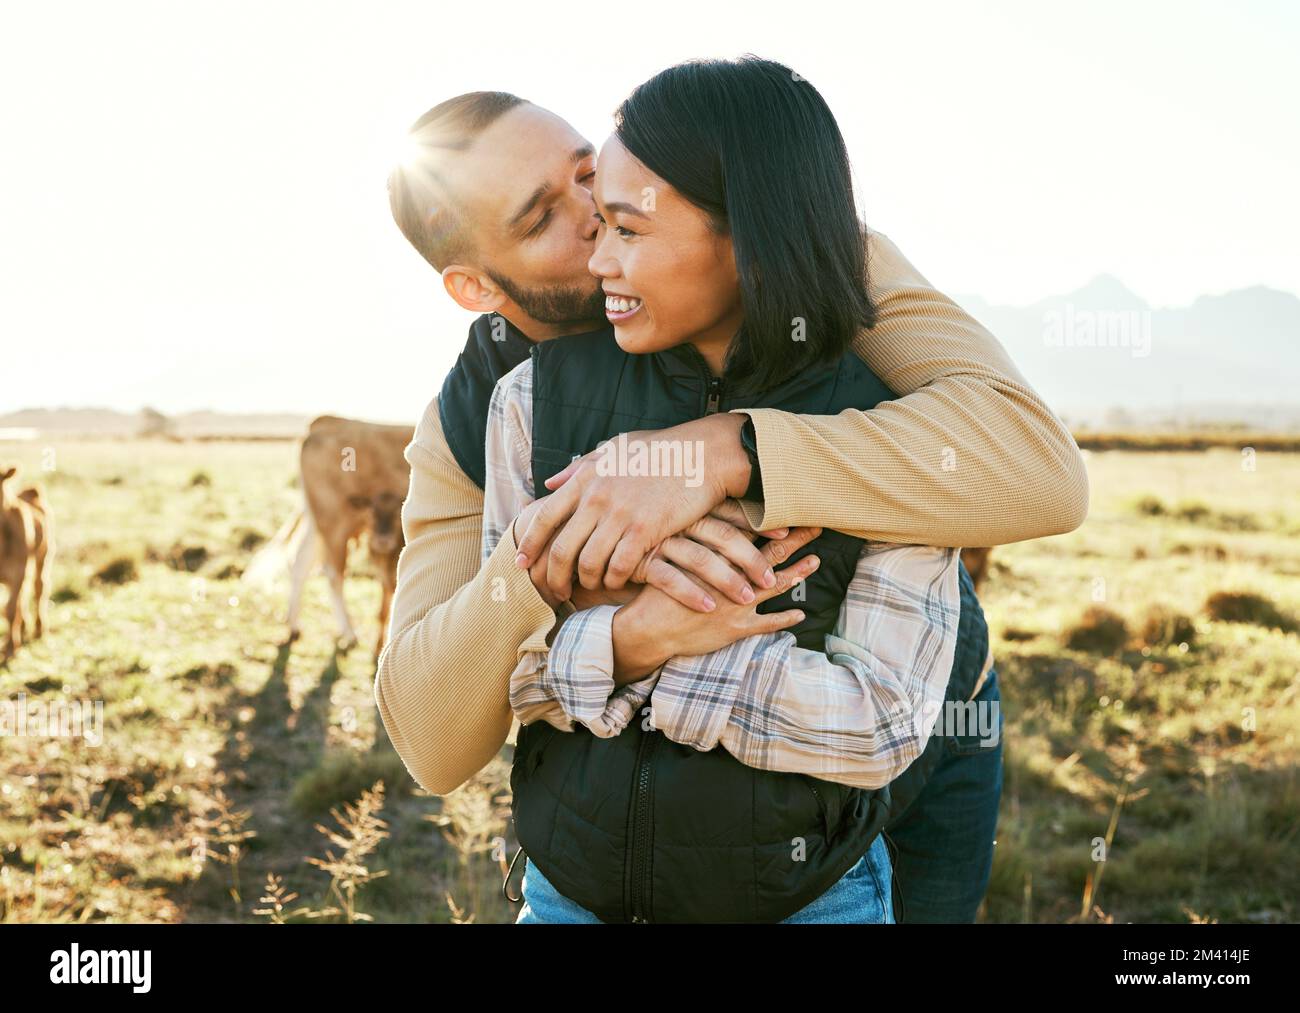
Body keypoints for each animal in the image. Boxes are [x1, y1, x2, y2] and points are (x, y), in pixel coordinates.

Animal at [1, 467, 54, 663]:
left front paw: (10, 649)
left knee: (39, 589)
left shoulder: (18, 572)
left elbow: (10, 610)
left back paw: (38, 629)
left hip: (42, 558)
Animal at [244, 416, 412, 659]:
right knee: (333, 574)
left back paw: (293, 626)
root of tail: (327, 421)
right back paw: (349, 633)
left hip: (317, 524)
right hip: (334, 524)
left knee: (300, 564)